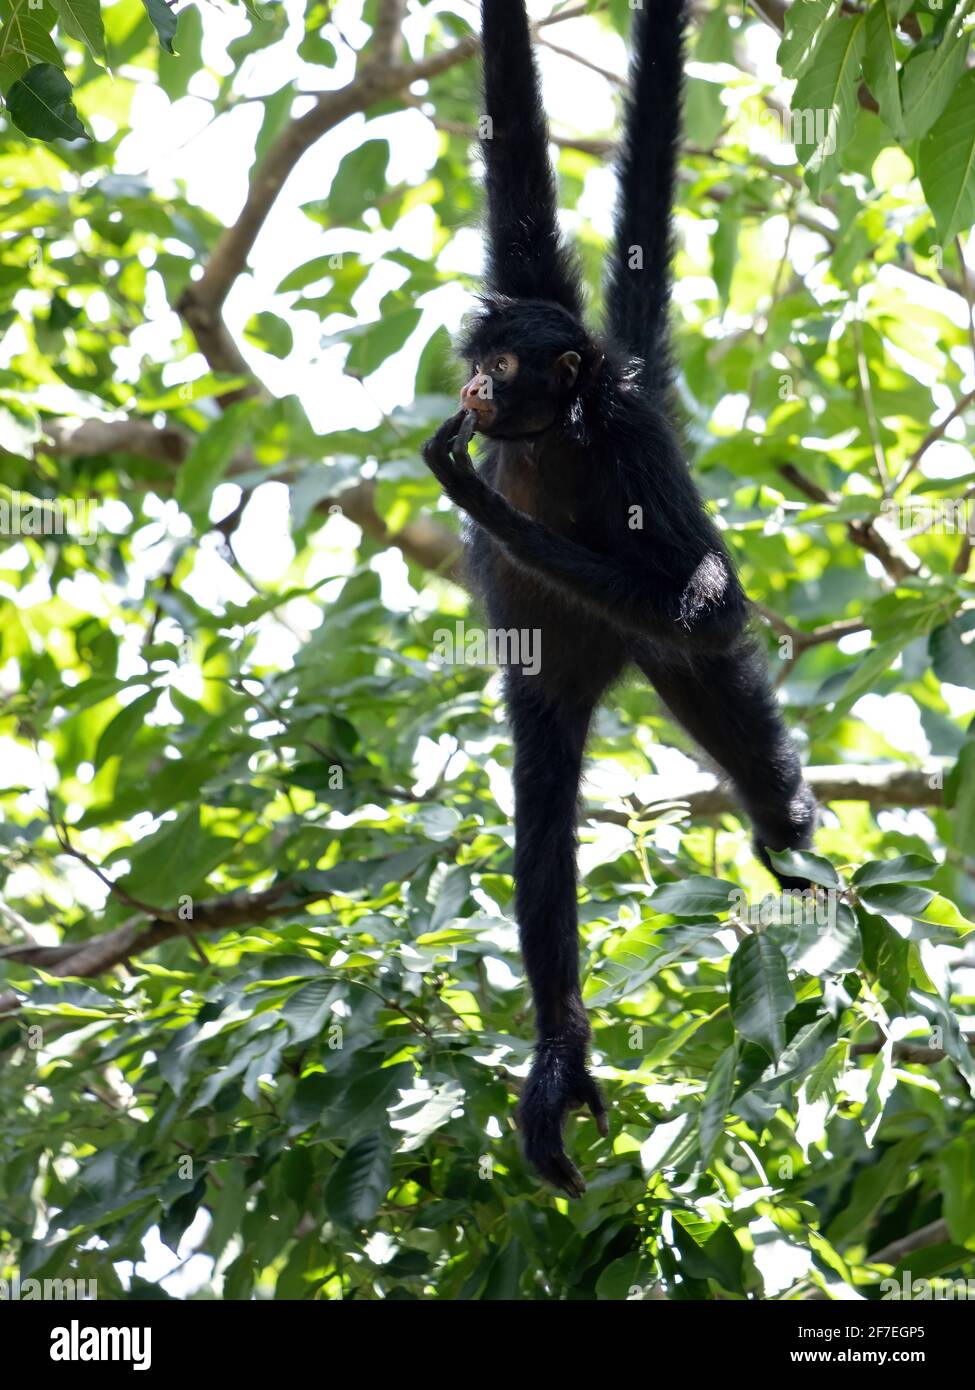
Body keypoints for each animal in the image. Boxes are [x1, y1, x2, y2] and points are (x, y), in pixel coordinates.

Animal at [421, 0, 817, 1197]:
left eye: (508, 363)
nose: (480, 385)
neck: (559, 432)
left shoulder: (632, 431)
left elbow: (715, 603)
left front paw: (484, 505)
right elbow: (513, 140)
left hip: (679, 666)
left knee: (758, 768)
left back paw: (792, 840)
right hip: (549, 693)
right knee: (543, 818)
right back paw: (561, 1050)